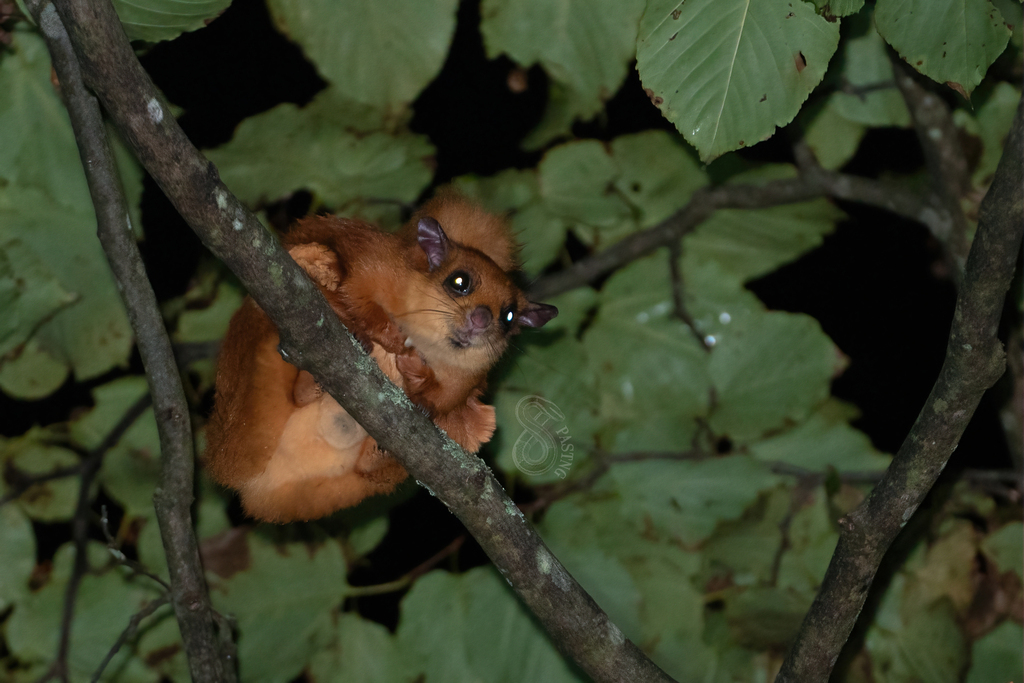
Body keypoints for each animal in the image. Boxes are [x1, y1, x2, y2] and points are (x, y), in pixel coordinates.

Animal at [204, 191, 558, 523]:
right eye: (460, 281)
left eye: (508, 316)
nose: (482, 319)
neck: (426, 338)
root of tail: (257, 486)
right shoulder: (379, 263)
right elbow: (358, 291)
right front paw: (389, 337)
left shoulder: (468, 380)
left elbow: (446, 396)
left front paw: (420, 386)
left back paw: (374, 452)